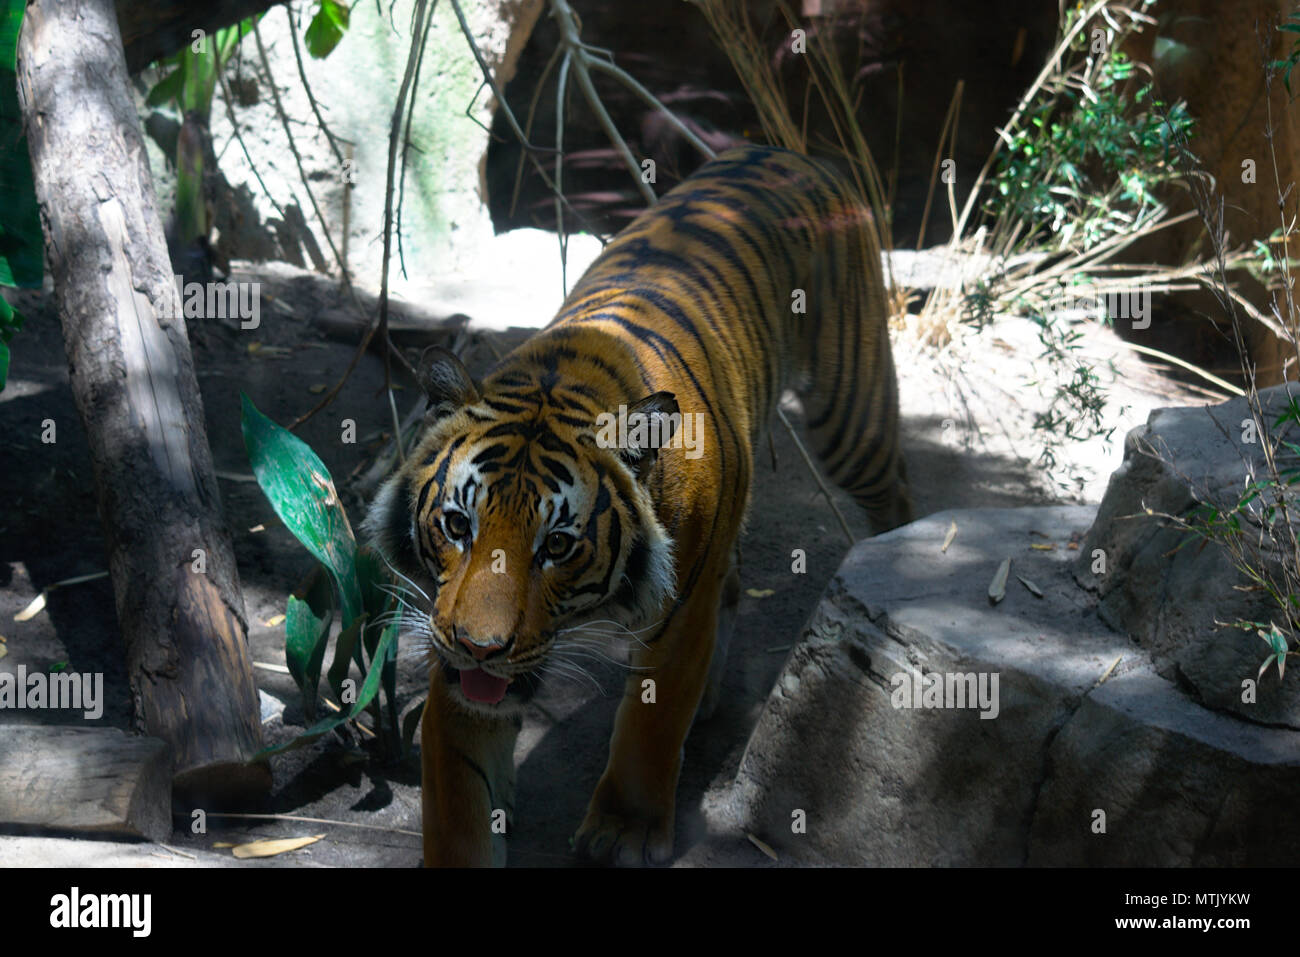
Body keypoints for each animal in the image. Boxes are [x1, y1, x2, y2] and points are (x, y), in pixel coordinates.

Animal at [363, 144, 912, 867]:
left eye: (557, 546)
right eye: (457, 525)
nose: (479, 649)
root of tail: (787, 151)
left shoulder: (680, 612)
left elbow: (652, 720)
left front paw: (624, 831)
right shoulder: (450, 638)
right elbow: (460, 791)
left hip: (851, 415)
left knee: (894, 489)